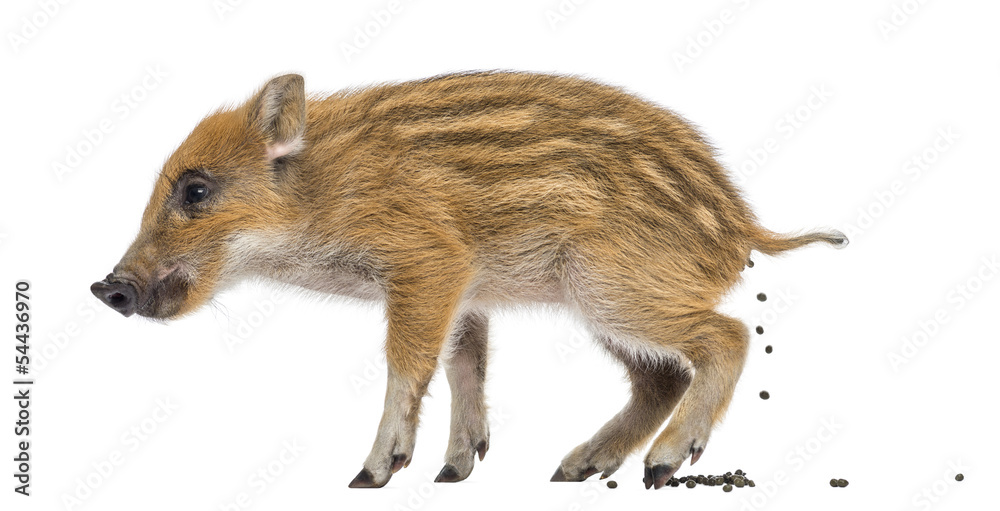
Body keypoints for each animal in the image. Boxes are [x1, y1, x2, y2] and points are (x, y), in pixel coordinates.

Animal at [90, 71, 846, 489]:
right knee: (659, 377)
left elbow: (409, 362)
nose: (108, 288)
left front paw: (370, 475)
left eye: (195, 190)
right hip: (602, 297)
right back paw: (574, 469)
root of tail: (743, 224)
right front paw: (455, 469)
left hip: (613, 286)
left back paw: (660, 468)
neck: (322, 197)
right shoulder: (467, 293)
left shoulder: (429, 262)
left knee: (728, 334)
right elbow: (464, 364)